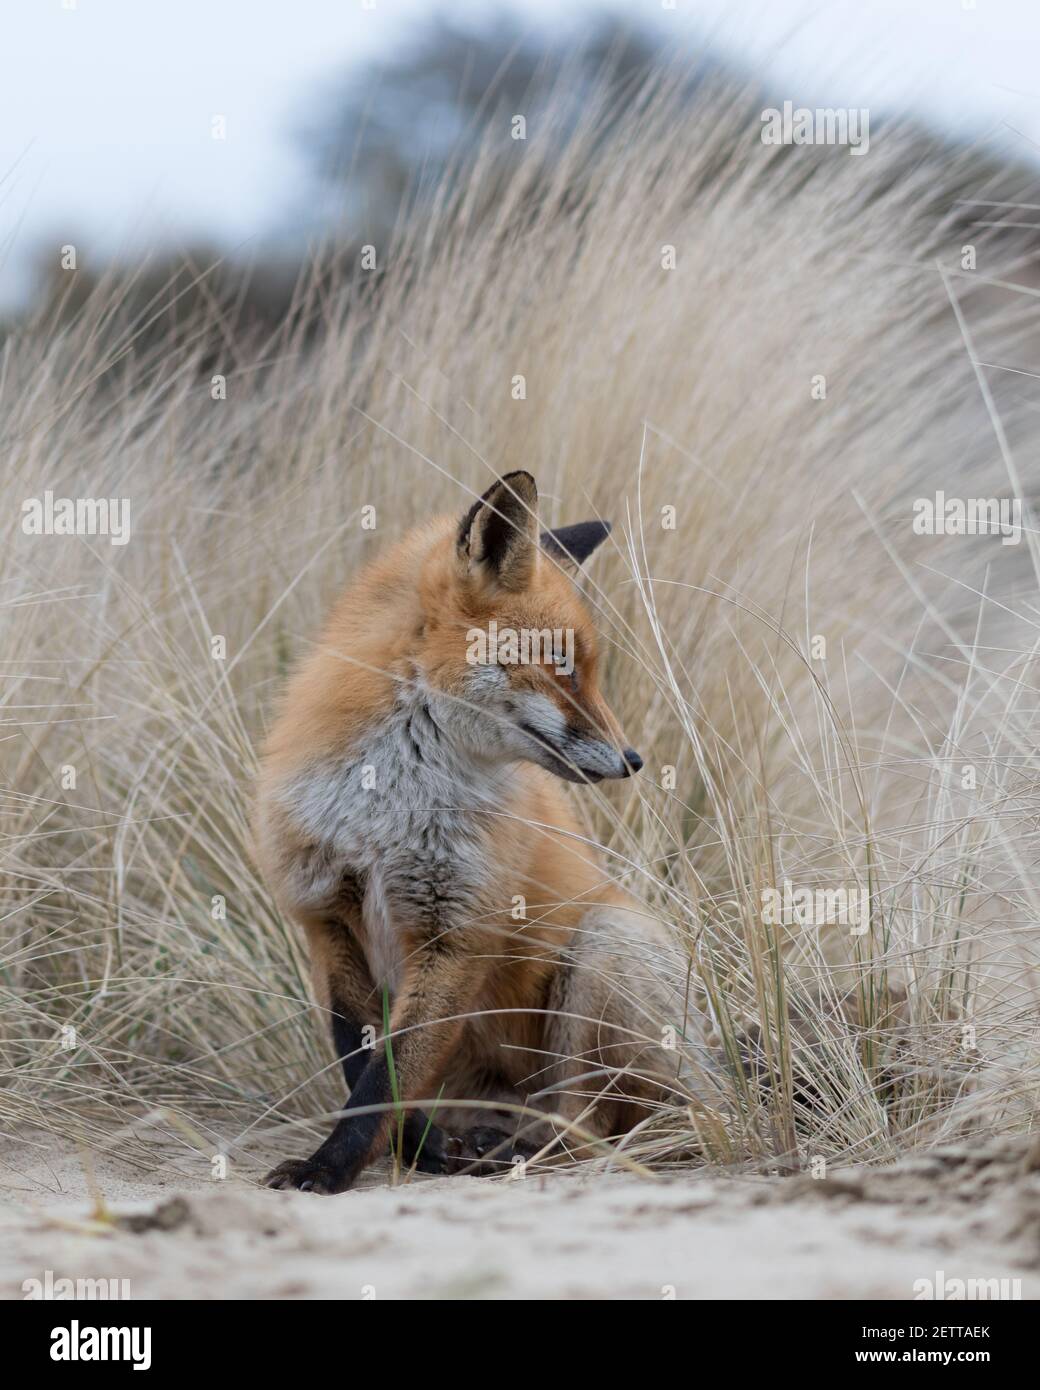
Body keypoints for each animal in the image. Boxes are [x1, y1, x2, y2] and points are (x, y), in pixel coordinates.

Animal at [255, 471, 715, 1193]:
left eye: (585, 668)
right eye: (561, 666)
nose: (633, 760)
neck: (388, 808)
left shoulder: (456, 934)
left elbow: (388, 1076)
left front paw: (331, 1168)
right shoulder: (327, 921)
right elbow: (368, 1070)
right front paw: (407, 1150)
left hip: (604, 947)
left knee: (586, 1128)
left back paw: (513, 1155)